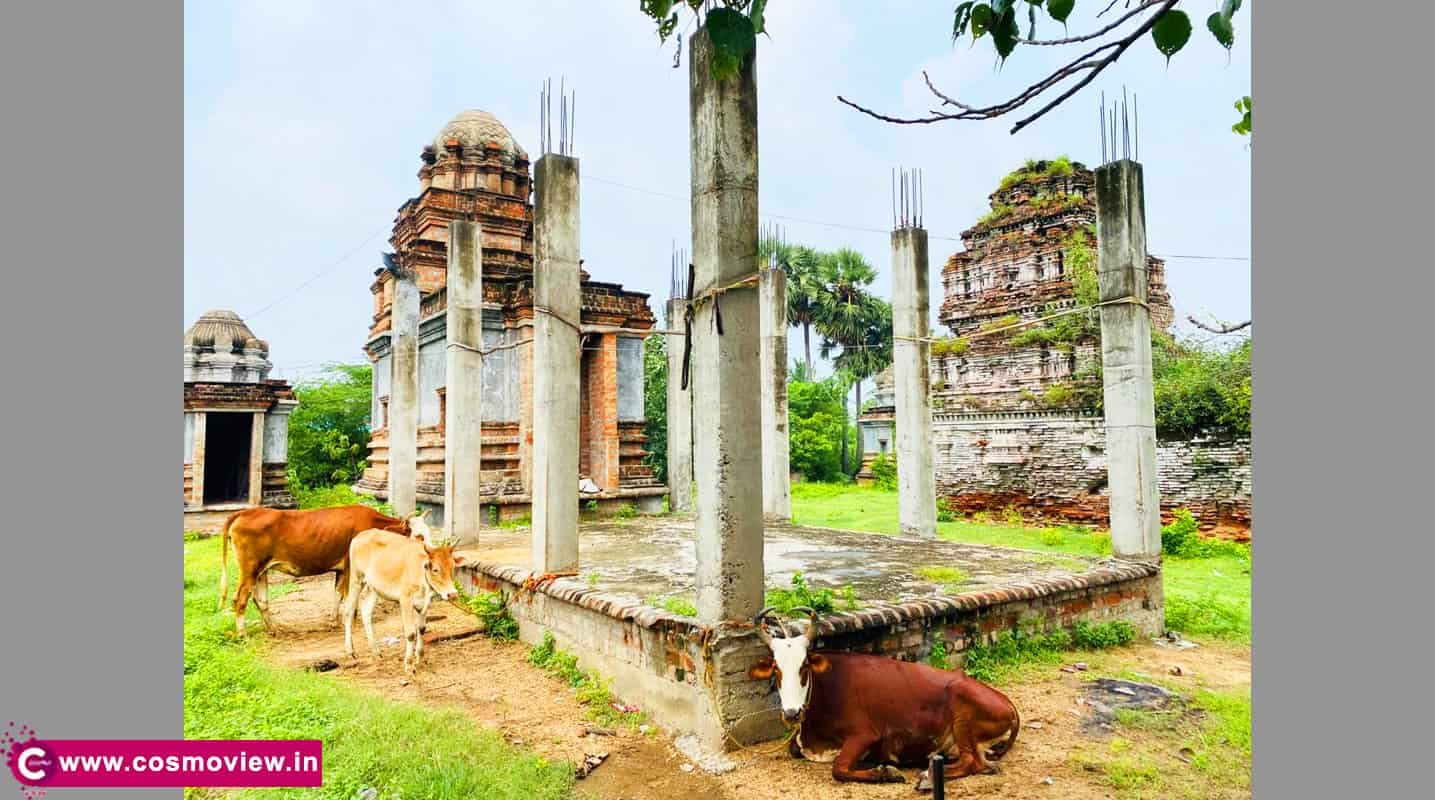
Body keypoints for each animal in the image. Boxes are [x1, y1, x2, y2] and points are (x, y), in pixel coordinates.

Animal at [215, 505, 416, 629]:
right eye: (410, 534)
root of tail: (244, 513)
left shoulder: (341, 569)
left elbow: (337, 594)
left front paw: (334, 621)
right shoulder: (351, 567)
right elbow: (349, 596)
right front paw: (351, 620)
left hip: (260, 571)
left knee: (261, 600)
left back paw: (275, 629)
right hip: (249, 569)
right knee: (240, 600)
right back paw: (243, 635)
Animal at [341, 531, 464, 675]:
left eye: (453, 567)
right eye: (435, 569)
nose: (452, 594)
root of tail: (362, 534)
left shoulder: (424, 603)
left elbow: (421, 629)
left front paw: (420, 658)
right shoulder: (405, 599)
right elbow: (411, 633)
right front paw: (409, 665)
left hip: (374, 587)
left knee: (366, 611)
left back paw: (376, 651)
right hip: (357, 578)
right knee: (348, 611)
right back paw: (350, 651)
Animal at [751, 606, 1021, 787]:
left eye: (804, 665)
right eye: (776, 669)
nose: (791, 713)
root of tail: (1007, 703)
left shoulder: (865, 734)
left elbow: (838, 768)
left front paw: (884, 772)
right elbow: (794, 749)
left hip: (963, 716)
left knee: (972, 762)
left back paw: (928, 777)